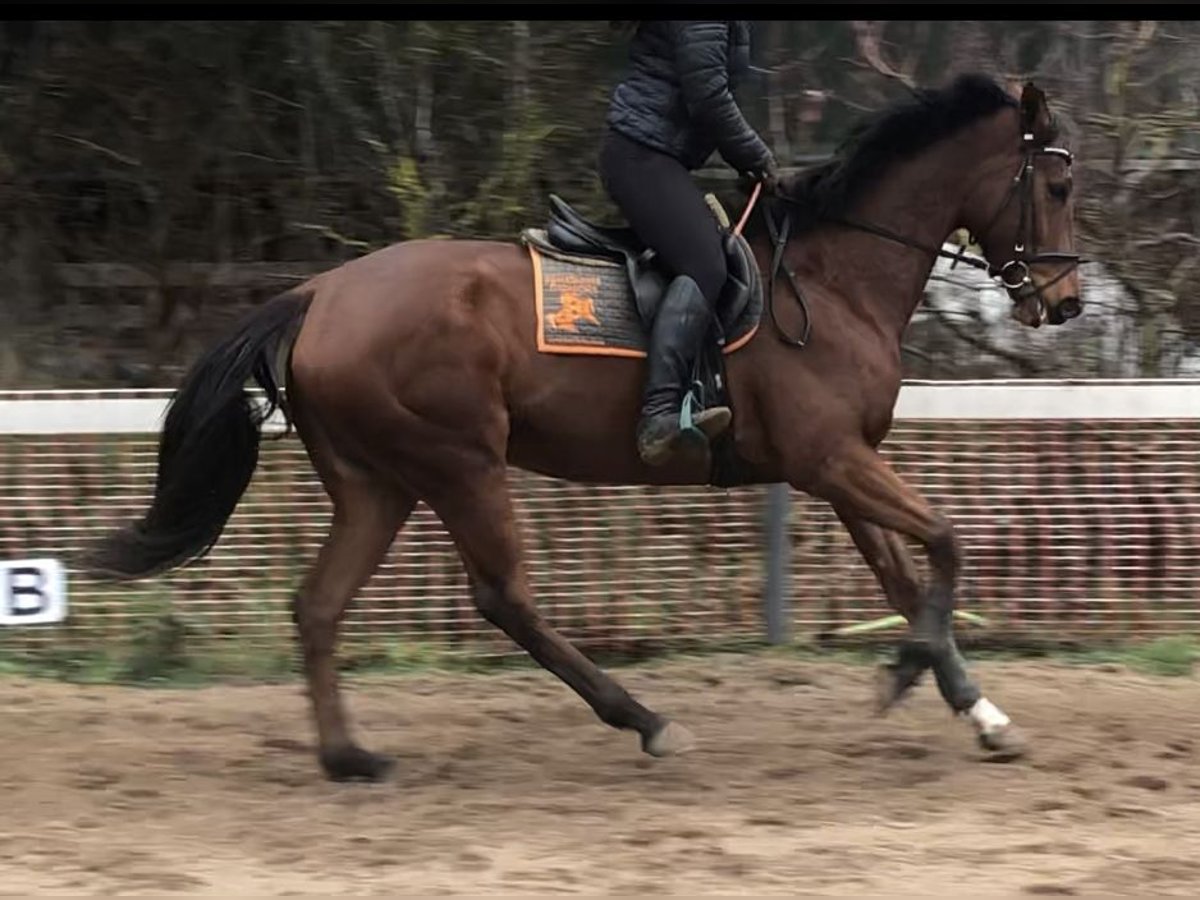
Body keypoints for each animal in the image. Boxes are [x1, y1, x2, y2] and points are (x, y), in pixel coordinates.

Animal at [87, 74, 1082, 782]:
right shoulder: (832, 460)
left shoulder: (838, 467)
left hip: (380, 483)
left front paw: (979, 714)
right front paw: (910, 674)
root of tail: (318, 293)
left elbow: (906, 577)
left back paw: (349, 756)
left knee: (320, 604)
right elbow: (945, 545)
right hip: (459, 463)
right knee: (504, 599)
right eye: (1061, 181)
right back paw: (647, 721)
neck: (836, 278)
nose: (1066, 302)